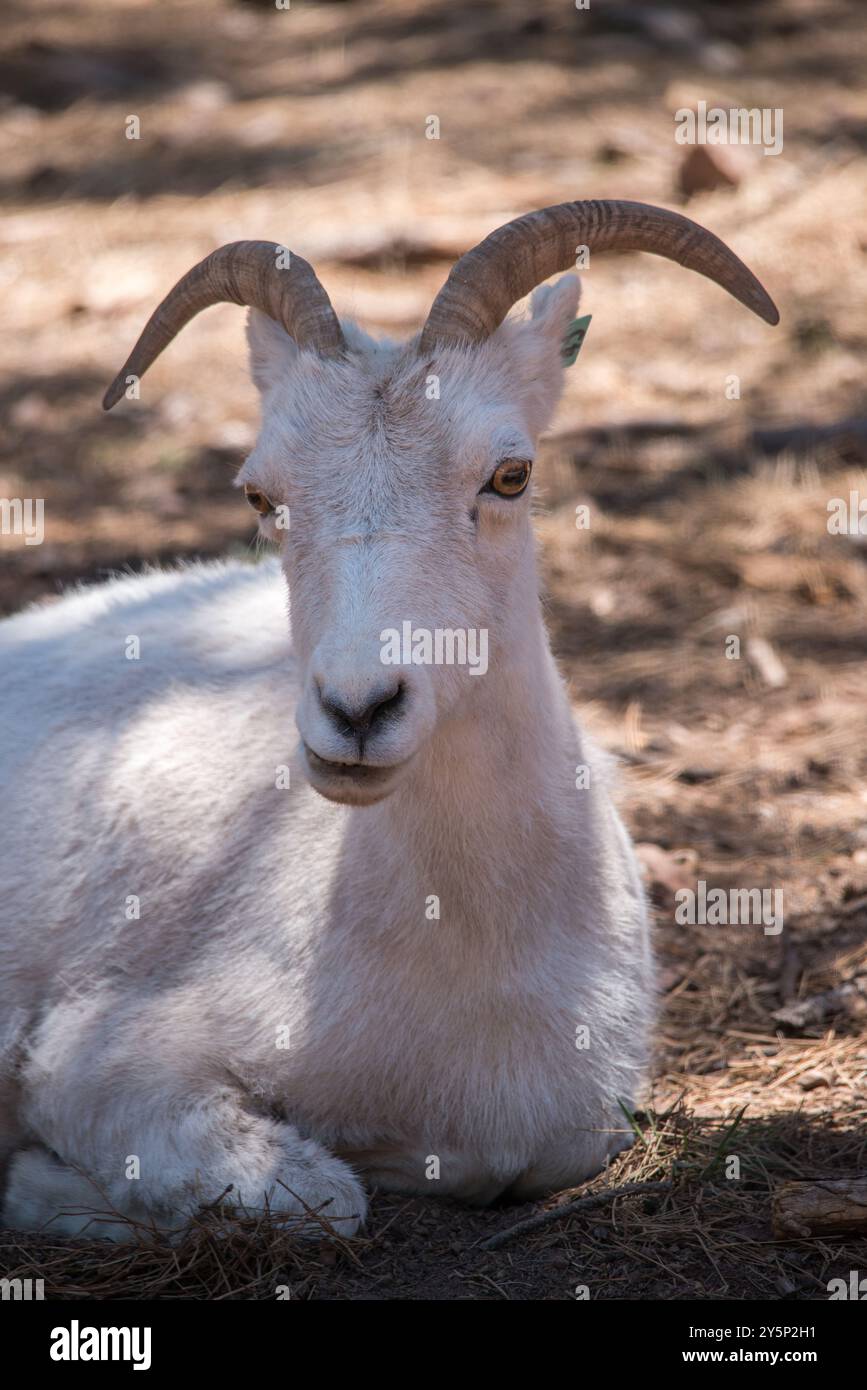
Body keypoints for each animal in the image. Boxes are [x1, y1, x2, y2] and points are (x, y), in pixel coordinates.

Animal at [0, 201, 778, 1239]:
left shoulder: (569, 1128)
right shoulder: (102, 1055)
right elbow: (321, 1196)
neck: (464, 956)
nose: (356, 710)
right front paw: (45, 1186)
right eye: (261, 496)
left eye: (510, 476)